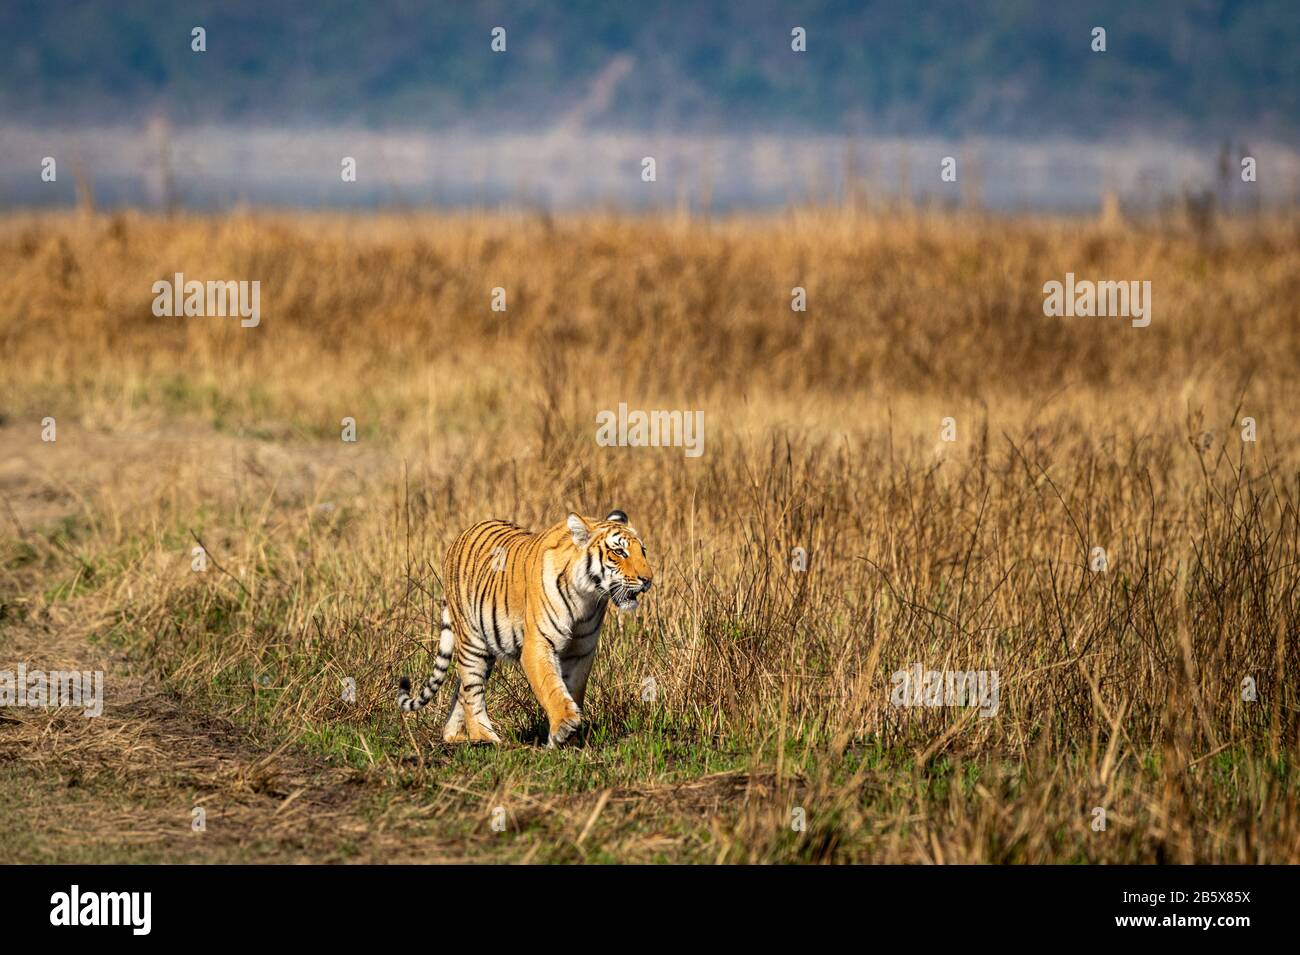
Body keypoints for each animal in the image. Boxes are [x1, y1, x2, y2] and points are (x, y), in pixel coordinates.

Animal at [397, 509, 653, 747]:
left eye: (643, 551)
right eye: (619, 552)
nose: (648, 580)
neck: (587, 598)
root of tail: (459, 538)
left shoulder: (582, 651)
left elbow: (572, 689)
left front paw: (565, 739)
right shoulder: (538, 644)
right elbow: (551, 687)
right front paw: (565, 725)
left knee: (462, 690)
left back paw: (454, 736)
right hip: (473, 642)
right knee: (472, 691)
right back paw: (487, 739)